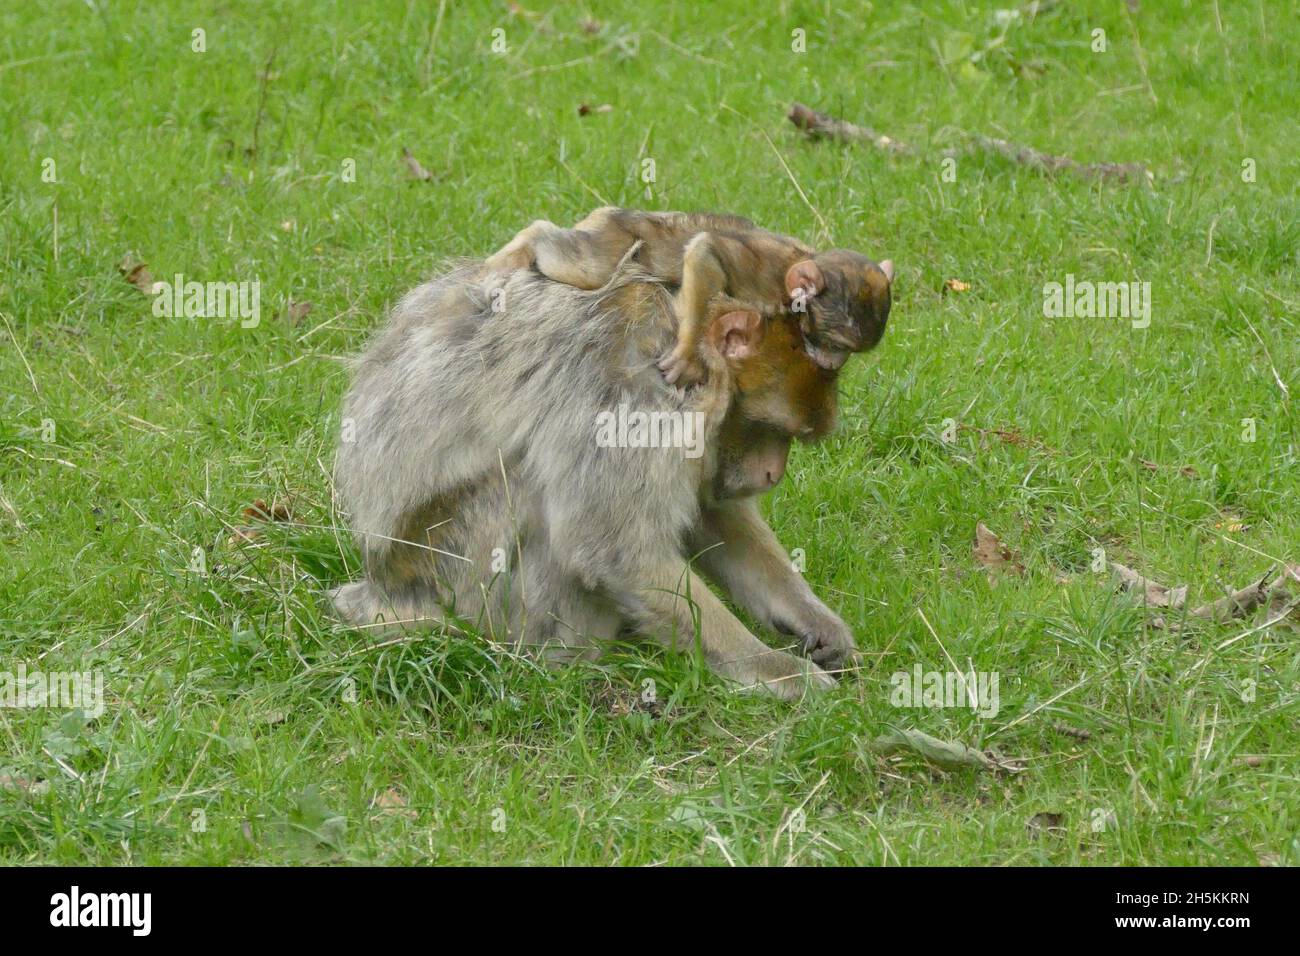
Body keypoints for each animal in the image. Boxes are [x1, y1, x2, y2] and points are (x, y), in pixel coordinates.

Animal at [330, 256, 858, 698]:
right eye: (770, 429)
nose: (772, 473)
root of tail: (386, 587)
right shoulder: (636, 400)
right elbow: (612, 547)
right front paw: (776, 670)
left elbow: (712, 514)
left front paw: (814, 621)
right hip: (465, 579)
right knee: (532, 485)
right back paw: (575, 654)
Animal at [481, 206, 894, 385]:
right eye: (837, 344)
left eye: (849, 352)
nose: (834, 364)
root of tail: (611, 212)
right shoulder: (764, 279)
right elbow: (705, 252)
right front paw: (689, 350)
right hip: (609, 243)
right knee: (581, 265)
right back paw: (523, 244)